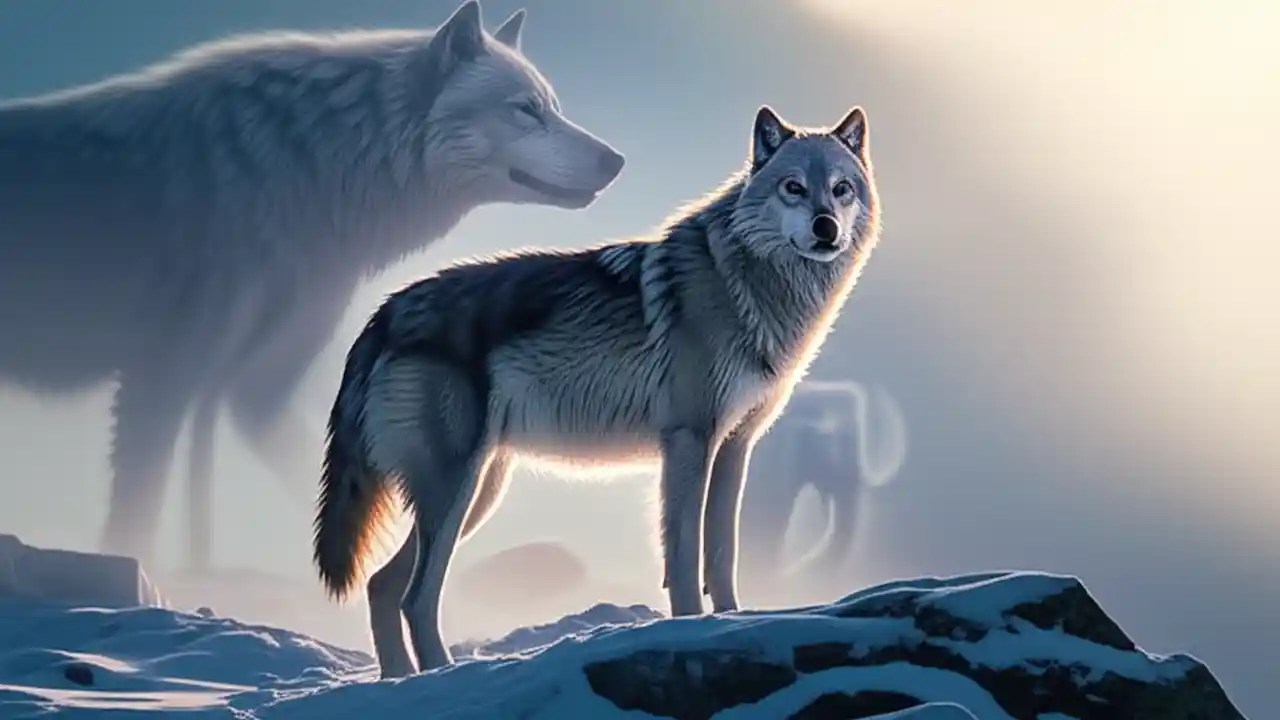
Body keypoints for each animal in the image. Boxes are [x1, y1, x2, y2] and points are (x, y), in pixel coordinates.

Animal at [0, 0, 624, 569]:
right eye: (526, 110)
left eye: (555, 108)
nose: (616, 160)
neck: (307, 167)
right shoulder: (165, 372)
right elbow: (139, 500)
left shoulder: (254, 387)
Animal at [312, 103, 883, 676]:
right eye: (793, 187)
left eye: (840, 189)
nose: (826, 228)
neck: (744, 282)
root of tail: (384, 312)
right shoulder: (688, 441)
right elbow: (683, 558)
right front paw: (691, 628)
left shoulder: (734, 447)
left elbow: (721, 554)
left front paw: (732, 621)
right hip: (457, 493)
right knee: (415, 596)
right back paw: (443, 674)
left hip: (476, 493)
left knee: (381, 585)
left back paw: (400, 681)